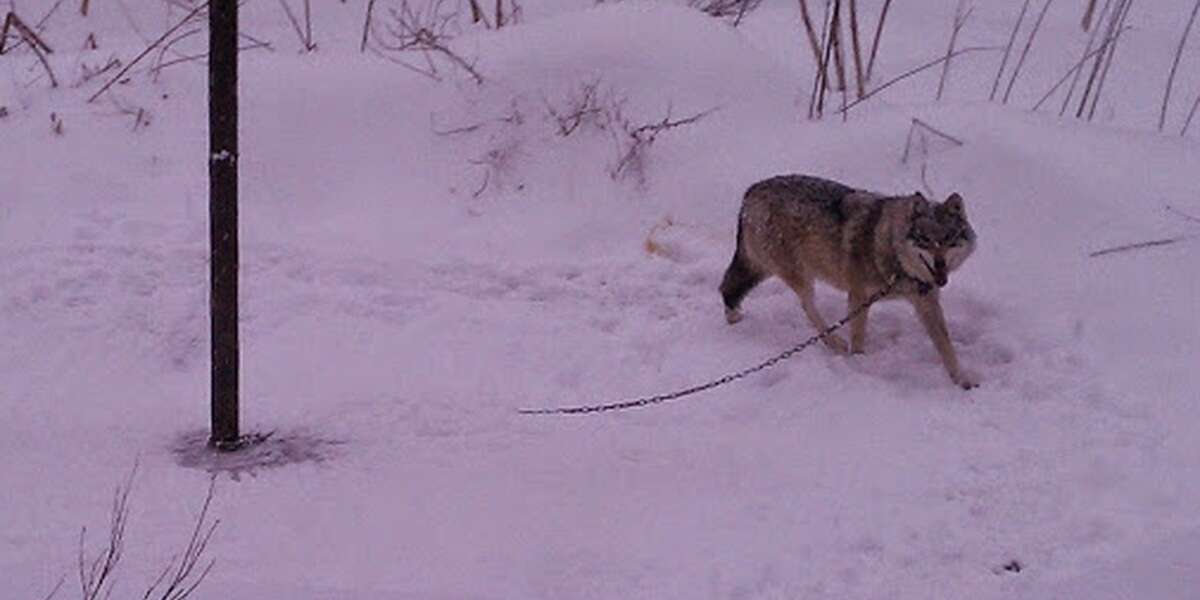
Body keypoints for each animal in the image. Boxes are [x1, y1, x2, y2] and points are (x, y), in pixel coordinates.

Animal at [719, 175, 978, 389]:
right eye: (925, 240)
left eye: (949, 240)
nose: (940, 266)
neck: (892, 253)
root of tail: (751, 190)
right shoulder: (858, 295)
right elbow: (858, 337)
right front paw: (859, 363)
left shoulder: (927, 303)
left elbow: (946, 347)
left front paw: (963, 380)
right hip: (797, 275)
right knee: (807, 307)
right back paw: (835, 343)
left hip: (767, 268)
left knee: (729, 288)